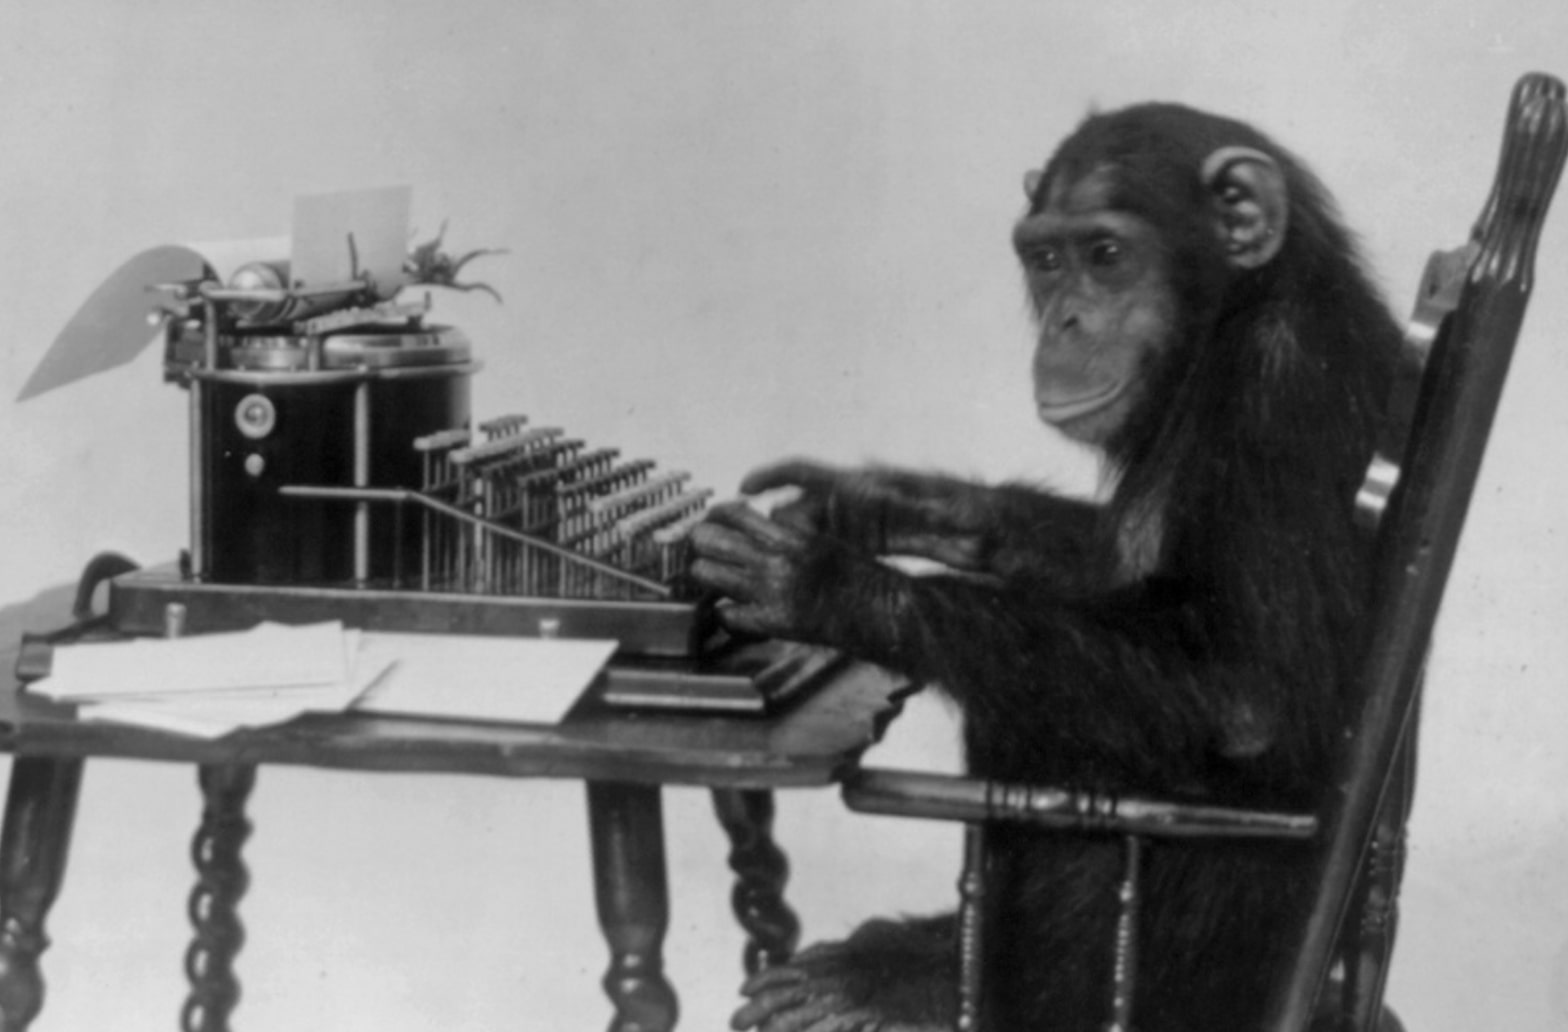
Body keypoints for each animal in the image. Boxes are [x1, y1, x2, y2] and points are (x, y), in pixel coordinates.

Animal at [689, 102, 1401, 1031]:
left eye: (1107, 254)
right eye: (1047, 258)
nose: (1067, 321)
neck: (1230, 321)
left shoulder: (1283, 397)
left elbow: (1250, 698)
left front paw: (824, 585)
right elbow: (1106, 561)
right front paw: (864, 501)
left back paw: (919, 978)